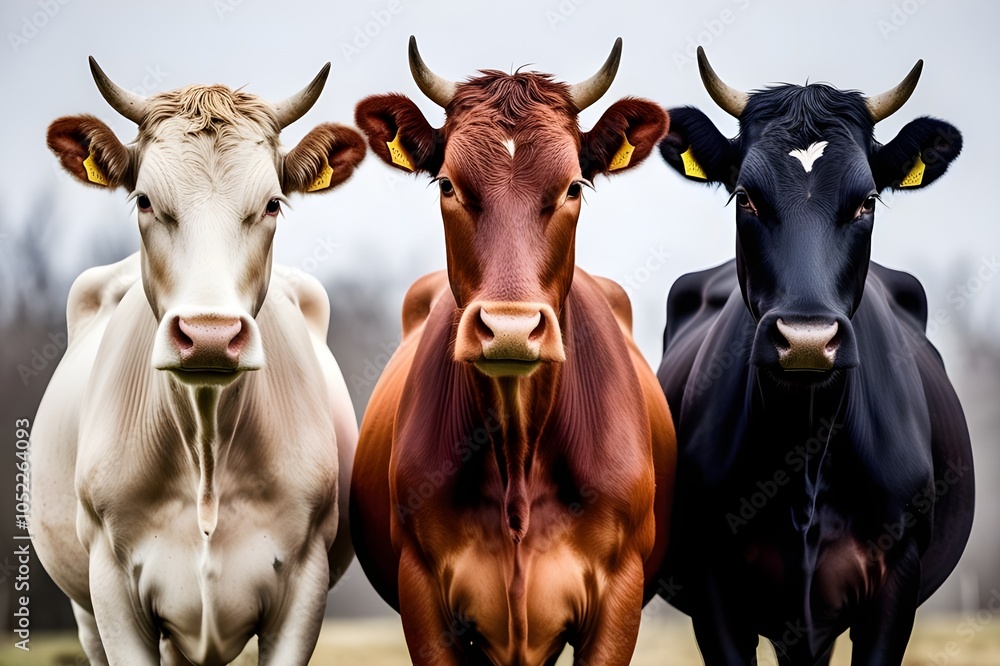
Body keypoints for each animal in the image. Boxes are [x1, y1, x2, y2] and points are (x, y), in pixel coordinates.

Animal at [31, 59, 365, 665]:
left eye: (273, 204)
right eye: (143, 200)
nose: (210, 335)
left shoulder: (303, 586)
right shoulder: (110, 589)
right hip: (85, 610)